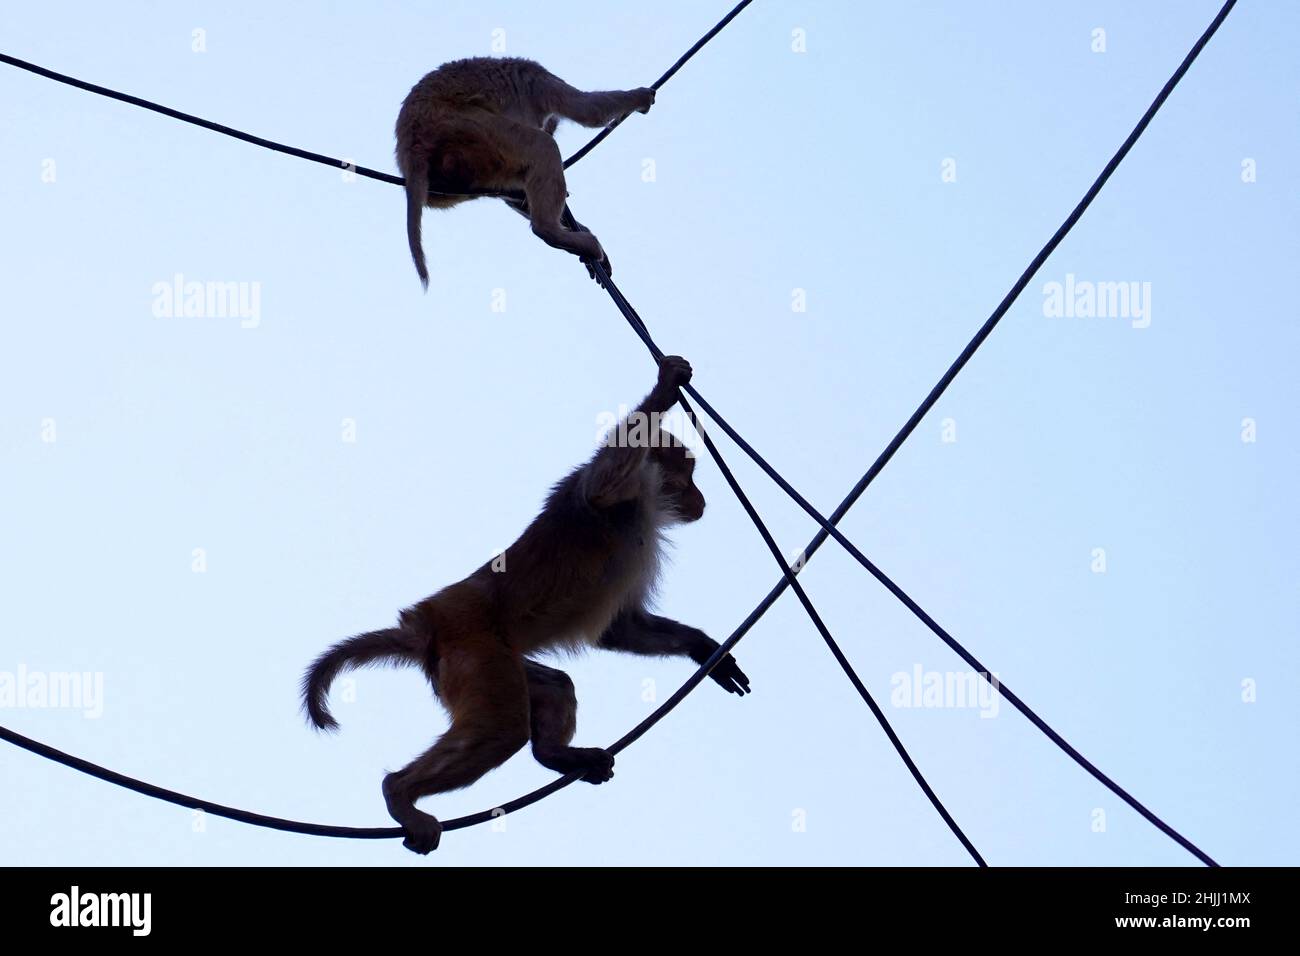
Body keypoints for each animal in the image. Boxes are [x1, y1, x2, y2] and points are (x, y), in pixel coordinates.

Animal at [302, 355, 750, 854]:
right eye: (687, 475)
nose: (699, 498)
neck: (647, 499)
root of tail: (425, 624)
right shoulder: (616, 486)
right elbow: (601, 487)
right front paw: (666, 387)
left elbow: (621, 628)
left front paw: (704, 649)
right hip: (475, 647)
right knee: (503, 726)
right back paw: (399, 792)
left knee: (554, 688)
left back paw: (553, 754)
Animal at [395, 56, 656, 288]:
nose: (549, 128)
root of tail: (412, 147)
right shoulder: (539, 81)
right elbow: (587, 110)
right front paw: (640, 96)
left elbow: (518, 196)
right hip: (467, 128)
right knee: (542, 146)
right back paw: (549, 230)